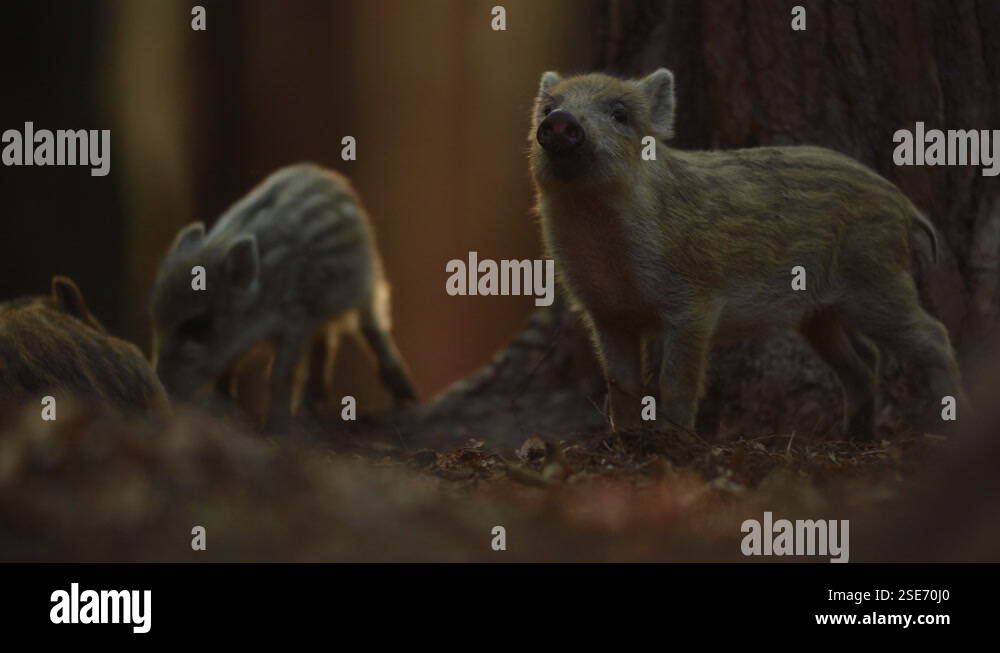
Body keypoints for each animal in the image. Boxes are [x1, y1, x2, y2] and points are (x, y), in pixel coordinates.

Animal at [149, 163, 416, 431]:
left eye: (198, 326)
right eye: (157, 322)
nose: (162, 387)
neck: (260, 293)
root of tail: (331, 177)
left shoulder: (294, 320)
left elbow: (280, 374)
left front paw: (275, 426)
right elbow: (230, 368)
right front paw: (228, 412)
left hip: (363, 284)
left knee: (372, 328)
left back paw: (406, 396)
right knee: (325, 342)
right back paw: (313, 404)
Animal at [529, 69, 967, 439]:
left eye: (619, 113)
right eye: (547, 108)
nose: (561, 119)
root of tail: (901, 201)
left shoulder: (693, 304)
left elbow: (675, 382)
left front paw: (674, 445)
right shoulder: (606, 313)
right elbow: (621, 383)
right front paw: (625, 441)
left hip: (878, 282)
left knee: (935, 335)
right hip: (818, 312)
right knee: (864, 359)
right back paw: (854, 437)